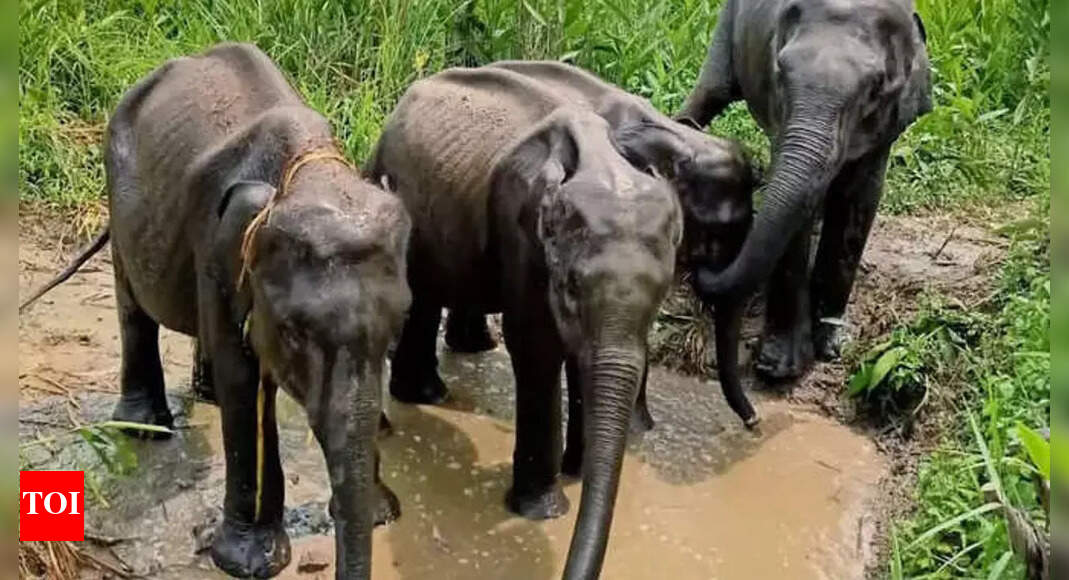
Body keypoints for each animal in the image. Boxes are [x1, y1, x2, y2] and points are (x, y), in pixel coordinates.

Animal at [19, 43, 412, 579]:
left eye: (398, 331)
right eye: (293, 332)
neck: (308, 176)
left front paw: (378, 513)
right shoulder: (217, 246)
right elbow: (244, 379)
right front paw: (246, 562)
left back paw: (203, 396)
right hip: (118, 195)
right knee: (133, 303)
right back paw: (144, 428)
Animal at [367, 66, 682, 579]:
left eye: (660, 300)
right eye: (570, 287)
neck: (602, 161)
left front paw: (577, 475)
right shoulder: (522, 231)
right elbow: (535, 345)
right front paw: (542, 512)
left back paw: (430, 394)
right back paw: (421, 400)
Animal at [680, 0, 932, 380]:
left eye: (876, 87)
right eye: (781, 70)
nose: (704, 261)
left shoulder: (887, 126)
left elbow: (859, 198)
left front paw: (832, 346)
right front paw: (777, 368)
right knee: (711, 94)